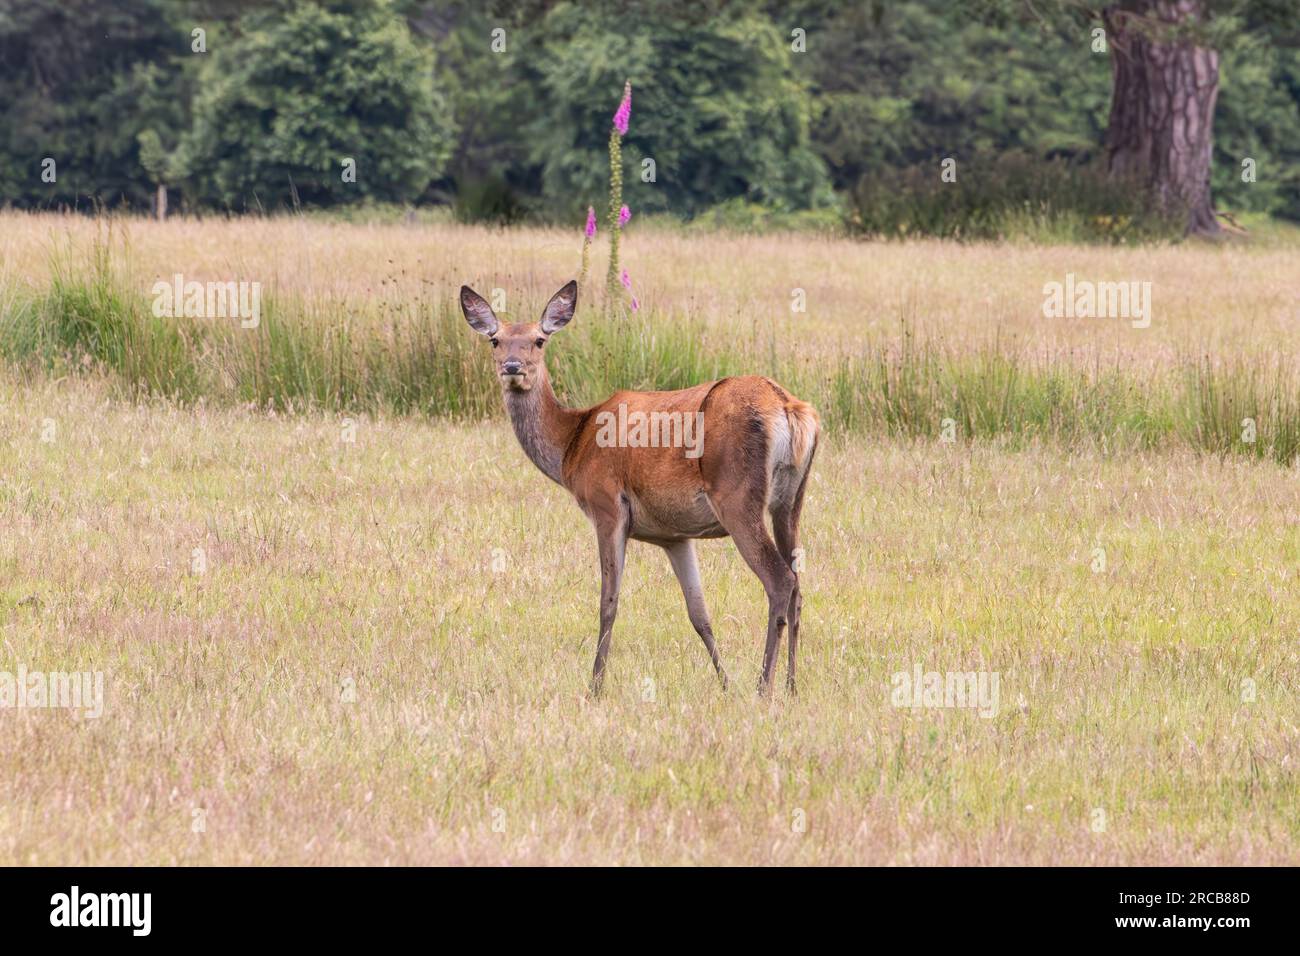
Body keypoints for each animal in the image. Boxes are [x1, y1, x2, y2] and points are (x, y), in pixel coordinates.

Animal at [460, 280, 819, 697]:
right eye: (496, 340)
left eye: (538, 340)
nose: (512, 367)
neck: (572, 446)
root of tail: (790, 408)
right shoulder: (674, 536)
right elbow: (699, 614)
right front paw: (725, 683)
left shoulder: (607, 505)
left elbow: (608, 601)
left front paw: (595, 686)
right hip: (791, 500)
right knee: (798, 583)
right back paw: (792, 686)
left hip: (737, 496)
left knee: (780, 579)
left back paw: (763, 688)